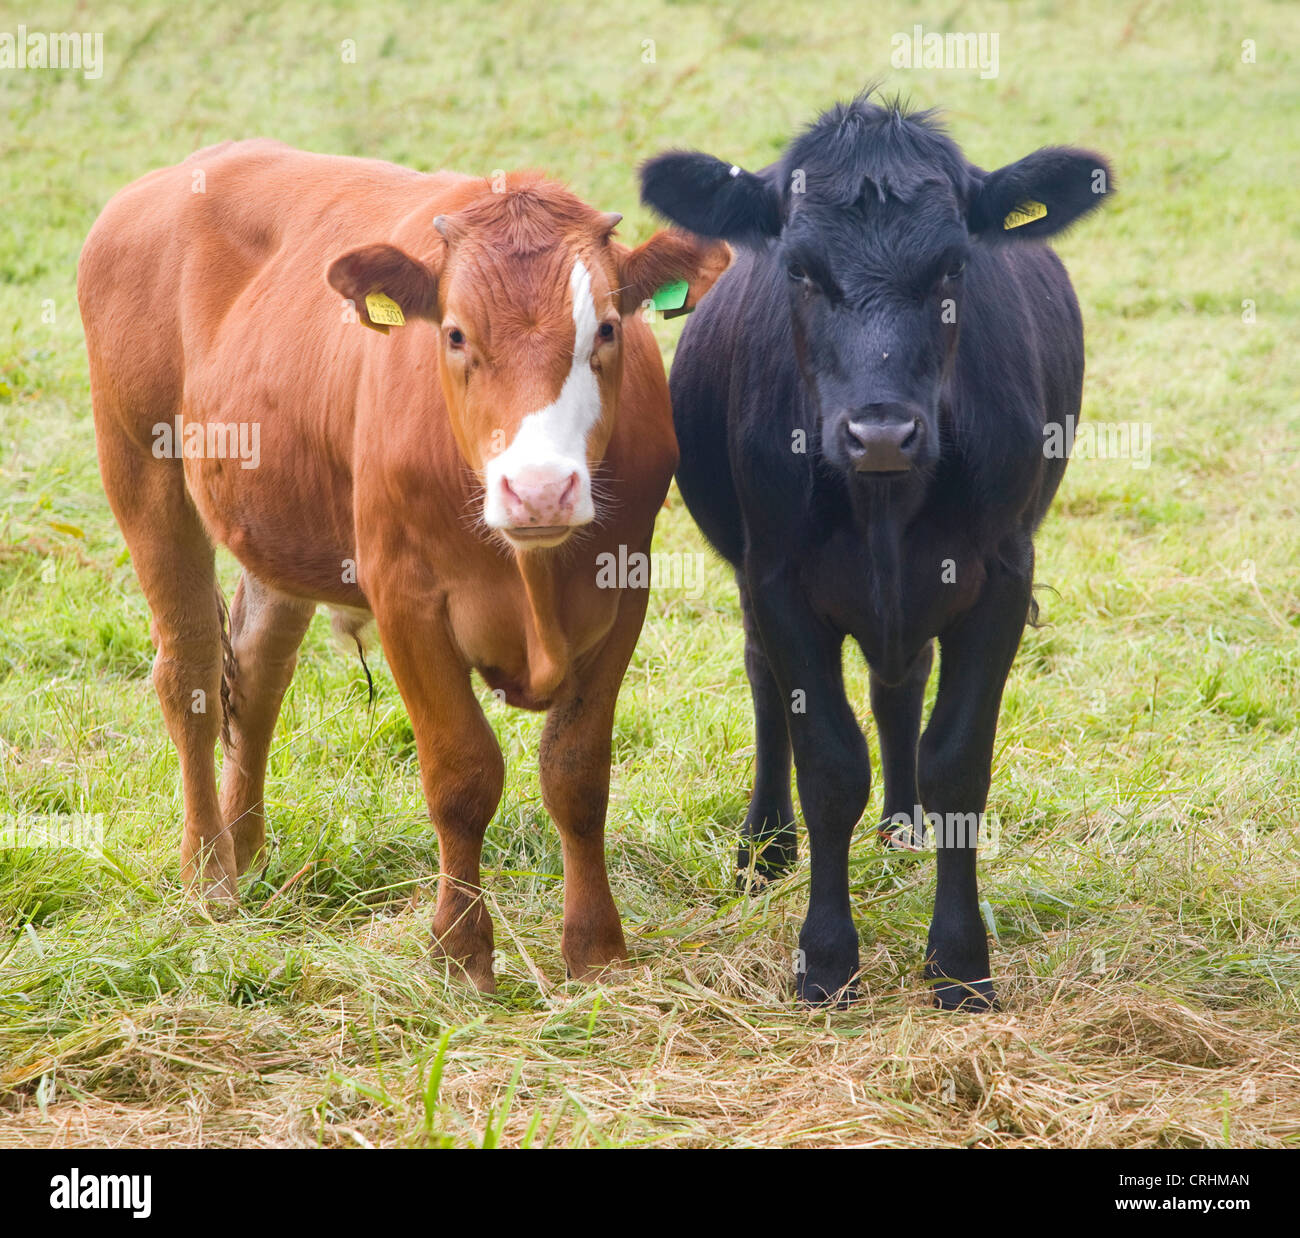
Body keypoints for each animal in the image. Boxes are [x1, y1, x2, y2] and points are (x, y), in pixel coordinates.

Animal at [78, 139, 728, 991]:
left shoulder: (625, 592)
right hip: (141, 467)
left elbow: (577, 774)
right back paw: (210, 875)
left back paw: (249, 857)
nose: (539, 488)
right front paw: (459, 953)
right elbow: (462, 775)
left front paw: (596, 952)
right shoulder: (405, 599)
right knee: (187, 671)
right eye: (453, 334)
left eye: (609, 330)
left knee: (256, 673)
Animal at [640, 94, 1112, 1008]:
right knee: (765, 683)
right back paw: (764, 848)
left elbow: (957, 764)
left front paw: (960, 964)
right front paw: (826, 960)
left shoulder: (1002, 577)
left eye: (954, 268)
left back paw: (903, 823)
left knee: (903, 683)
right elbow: (828, 765)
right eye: (799, 270)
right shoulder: (779, 580)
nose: (882, 432)